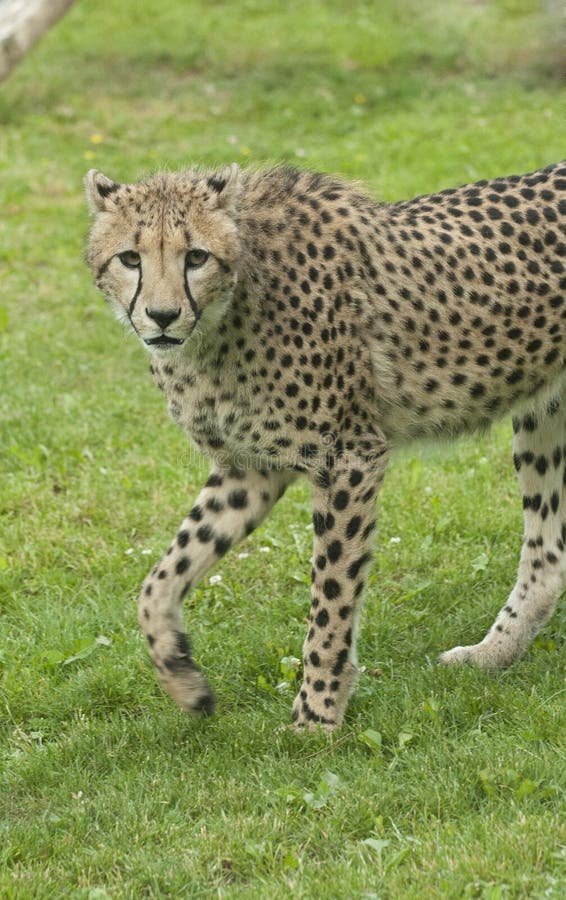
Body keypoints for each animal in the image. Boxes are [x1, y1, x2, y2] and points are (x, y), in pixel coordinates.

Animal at [85, 159, 566, 729]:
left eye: (196, 256)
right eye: (130, 258)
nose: (161, 316)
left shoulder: (348, 456)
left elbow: (332, 592)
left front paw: (317, 713)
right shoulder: (249, 467)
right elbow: (161, 578)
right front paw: (183, 678)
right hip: (545, 414)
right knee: (548, 550)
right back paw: (490, 656)